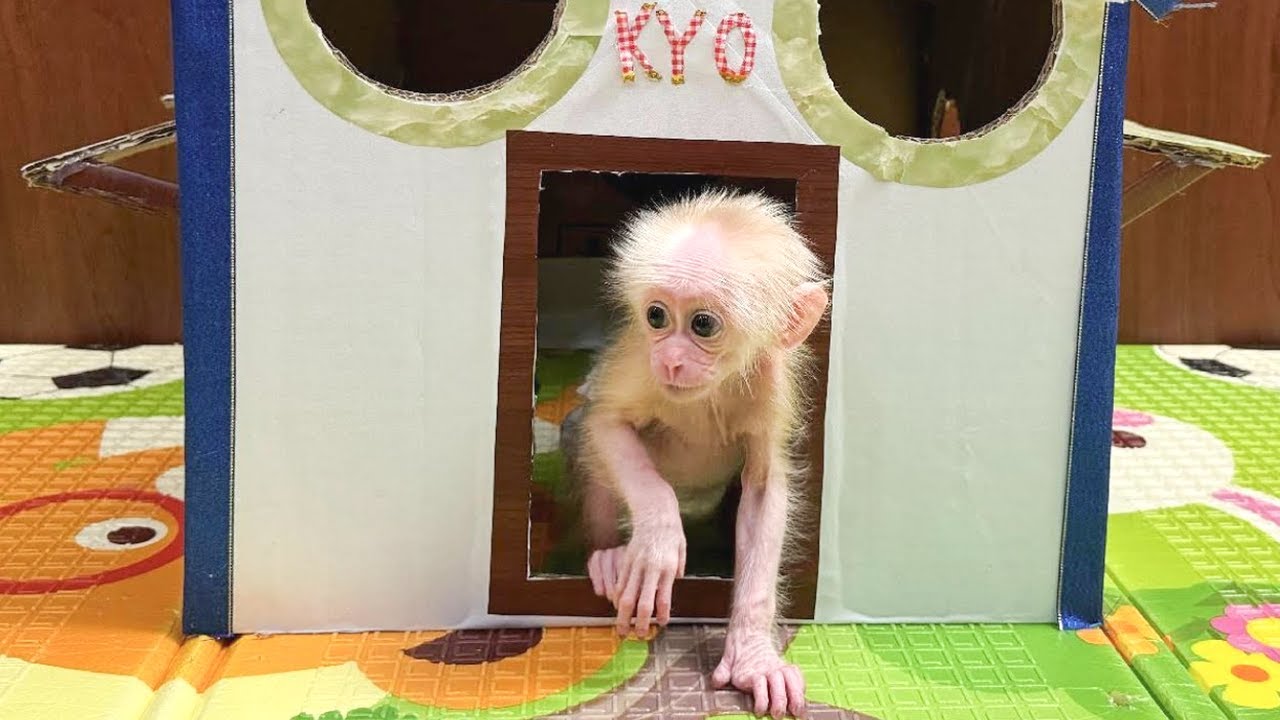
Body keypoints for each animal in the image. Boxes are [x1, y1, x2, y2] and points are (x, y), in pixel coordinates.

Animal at [558, 189, 830, 719]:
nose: (670, 360)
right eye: (657, 316)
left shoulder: (770, 379)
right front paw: (657, 541)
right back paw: (610, 557)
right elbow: (604, 423)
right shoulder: (640, 359)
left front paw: (753, 655)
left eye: (703, 324)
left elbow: (764, 490)